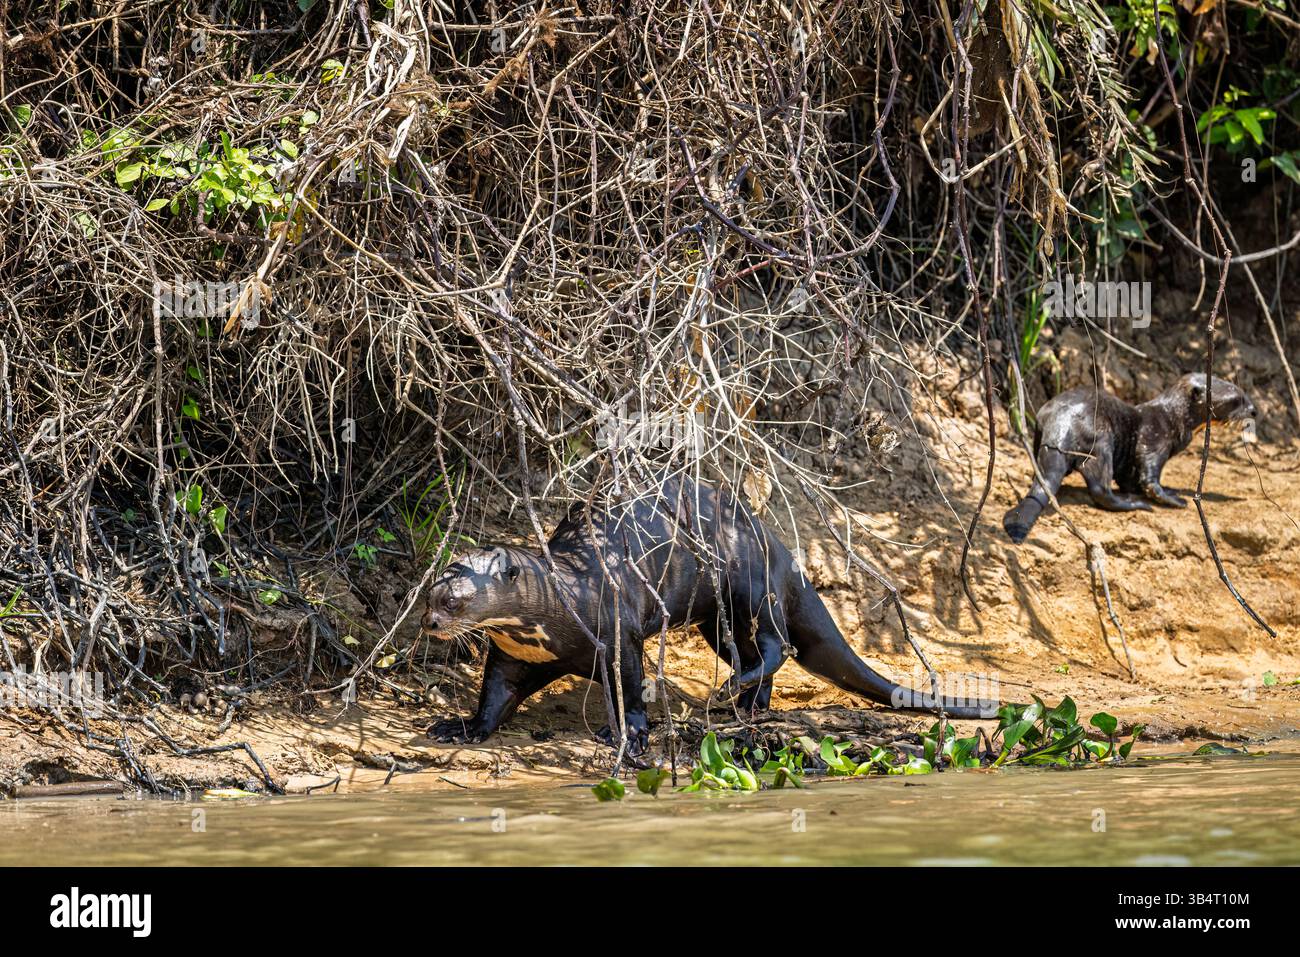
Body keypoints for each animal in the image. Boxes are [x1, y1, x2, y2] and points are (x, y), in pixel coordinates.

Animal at [421, 476, 996, 754]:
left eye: (454, 601)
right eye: (429, 594)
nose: (428, 623)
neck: (567, 595)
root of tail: (779, 546)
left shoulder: (618, 629)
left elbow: (630, 686)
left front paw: (629, 734)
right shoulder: (514, 655)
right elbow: (496, 695)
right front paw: (461, 726)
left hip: (751, 582)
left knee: (777, 643)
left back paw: (731, 692)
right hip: (714, 620)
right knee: (753, 651)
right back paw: (747, 704)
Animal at [1003, 373, 1256, 544]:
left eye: (1244, 393)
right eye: (1237, 399)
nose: (1254, 410)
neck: (1173, 419)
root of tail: (1062, 424)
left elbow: (1130, 478)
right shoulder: (1155, 440)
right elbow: (1150, 478)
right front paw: (1173, 498)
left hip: (1039, 428)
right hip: (1101, 440)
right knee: (1100, 490)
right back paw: (1134, 504)